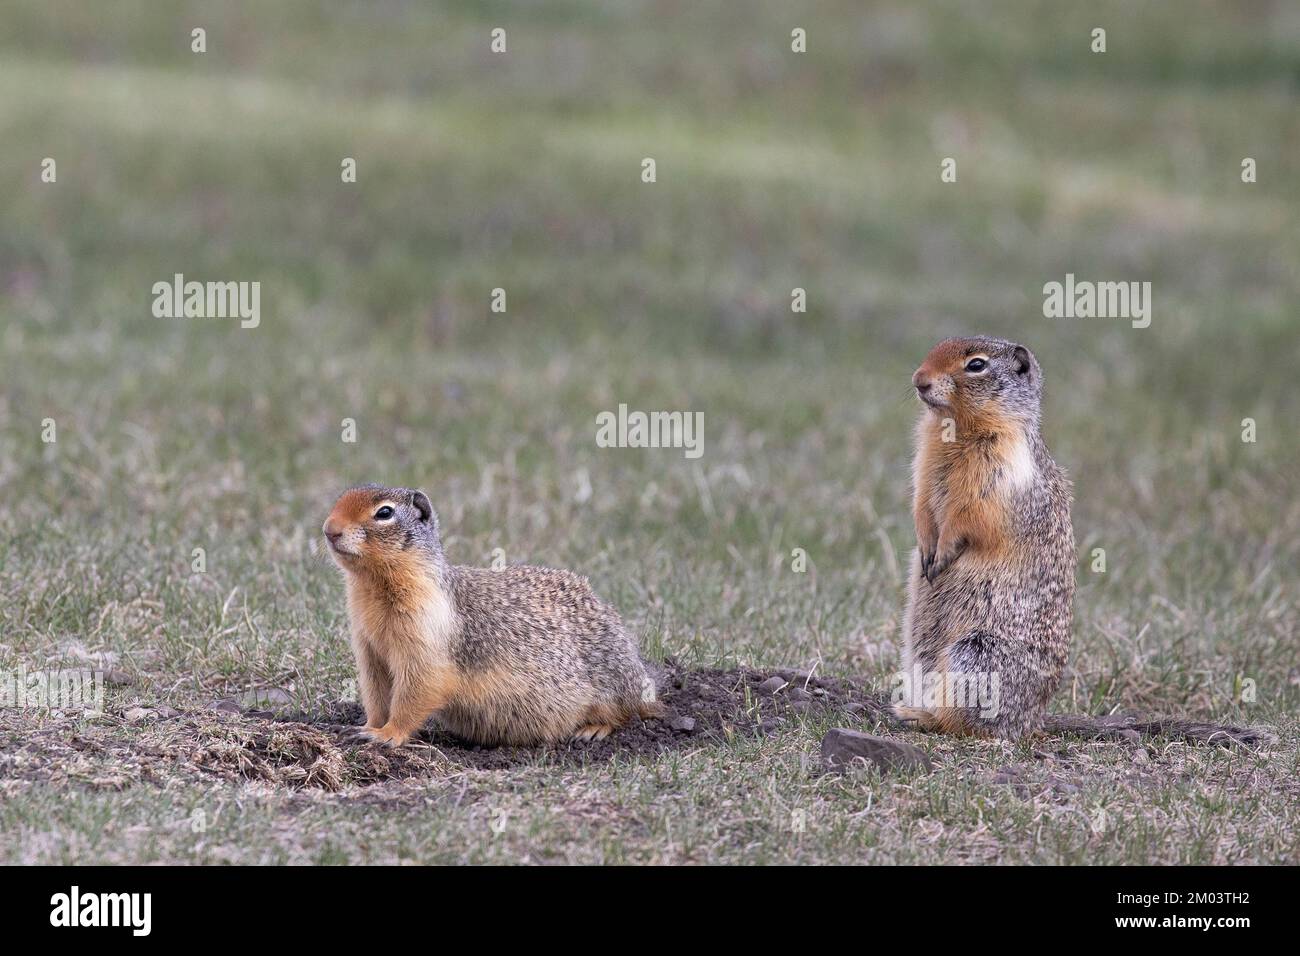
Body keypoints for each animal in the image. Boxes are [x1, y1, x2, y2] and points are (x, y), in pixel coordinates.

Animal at [322, 484, 662, 747]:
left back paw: (593, 729)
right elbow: (376, 689)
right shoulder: (367, 644)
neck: (373, 585)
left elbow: (418, 686)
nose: (329, 529)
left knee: (626, 712)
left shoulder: (425, 632)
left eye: (384, 513)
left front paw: (387, 734)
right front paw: (367, 727)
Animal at [893, 336, 1074, 740]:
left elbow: (969, 516)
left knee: (968, 722)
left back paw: (922, 716)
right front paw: (926, 548)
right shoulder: (924, 462)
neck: (956, 426)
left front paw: (942, 554)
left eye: (976, 365)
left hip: (976, 655)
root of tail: (1031, 723)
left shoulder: (999, 468)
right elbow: (921, 502)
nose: (917, 380)